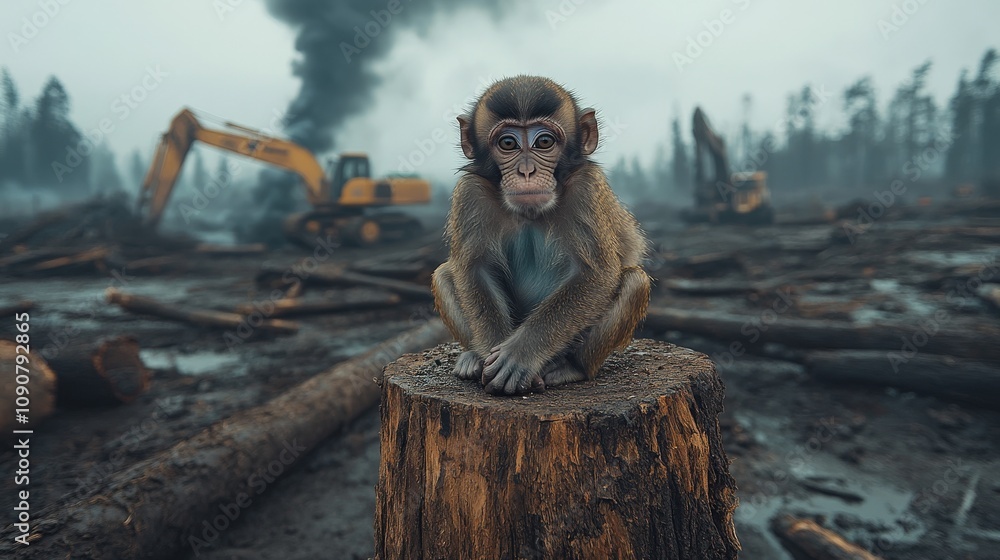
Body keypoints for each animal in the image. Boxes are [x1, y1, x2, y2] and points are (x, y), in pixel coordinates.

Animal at [431, 75, 650, 396]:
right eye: (508, 143)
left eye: (544, 142)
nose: (526, 172)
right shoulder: (470, 192)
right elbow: (474, 270)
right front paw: (495, 355)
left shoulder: (586, 187)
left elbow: (596, 274)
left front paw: (517, 357)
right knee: (444, 274)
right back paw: (473, 357)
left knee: (635, 281)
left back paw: (571, 367)